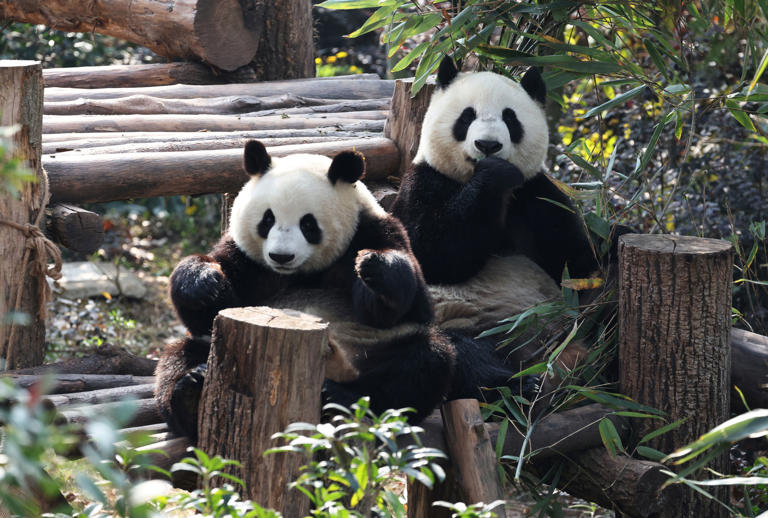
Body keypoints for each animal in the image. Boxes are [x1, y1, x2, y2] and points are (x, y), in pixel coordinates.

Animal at [155, 140, 536, 442]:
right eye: (267, 219)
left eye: (308, 224)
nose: (281, 256)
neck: (303, 273)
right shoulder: (247, 260)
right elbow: (209, 311)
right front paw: (204, 280)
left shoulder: (373, 230)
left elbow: (408, 305)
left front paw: (376, 269)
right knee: (181, 355)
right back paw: (191, 393)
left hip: (372, 357)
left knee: (426, 362)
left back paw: (343, 399)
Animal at [391, 56, 601, 369]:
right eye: (466, 117)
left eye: (510, 119)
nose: (487, 145)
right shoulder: (423, 182)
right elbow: (431, 253)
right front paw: (495, 174)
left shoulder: (537, 196)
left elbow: (578, 262)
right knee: (448, 354)